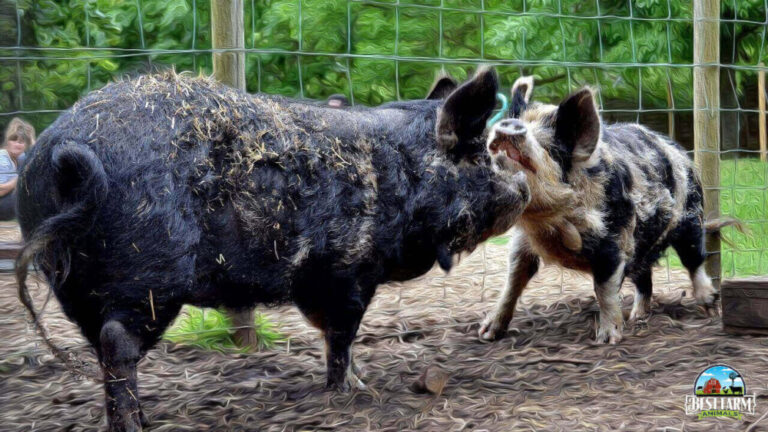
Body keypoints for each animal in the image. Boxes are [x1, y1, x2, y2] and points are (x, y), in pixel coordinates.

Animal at [16, 67, 529, 431]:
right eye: (477, 153)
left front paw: (354, 382)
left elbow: (328, 331)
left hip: (73, 281)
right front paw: (351, 391)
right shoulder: (351, 270)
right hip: (148, 274)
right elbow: (342, 333)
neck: (404, 176)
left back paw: (141, 417)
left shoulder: (316, 281)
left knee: (99, 345)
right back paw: (135, 426)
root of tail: (61, 151)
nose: (523, 186)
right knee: (116, 342)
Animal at [479, 76, 737, 344]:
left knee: (694, 260)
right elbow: (513, 280)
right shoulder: (522, 241)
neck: (547, 222)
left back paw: (708, 307)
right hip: (641, 247)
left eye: (549, 146)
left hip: (691, 216)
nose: (510, 124)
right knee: (645, 279)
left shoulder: (614, 241)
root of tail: (681, 152)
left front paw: (606, 340)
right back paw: (636, 317)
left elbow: (604, 289)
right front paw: (486, 334)